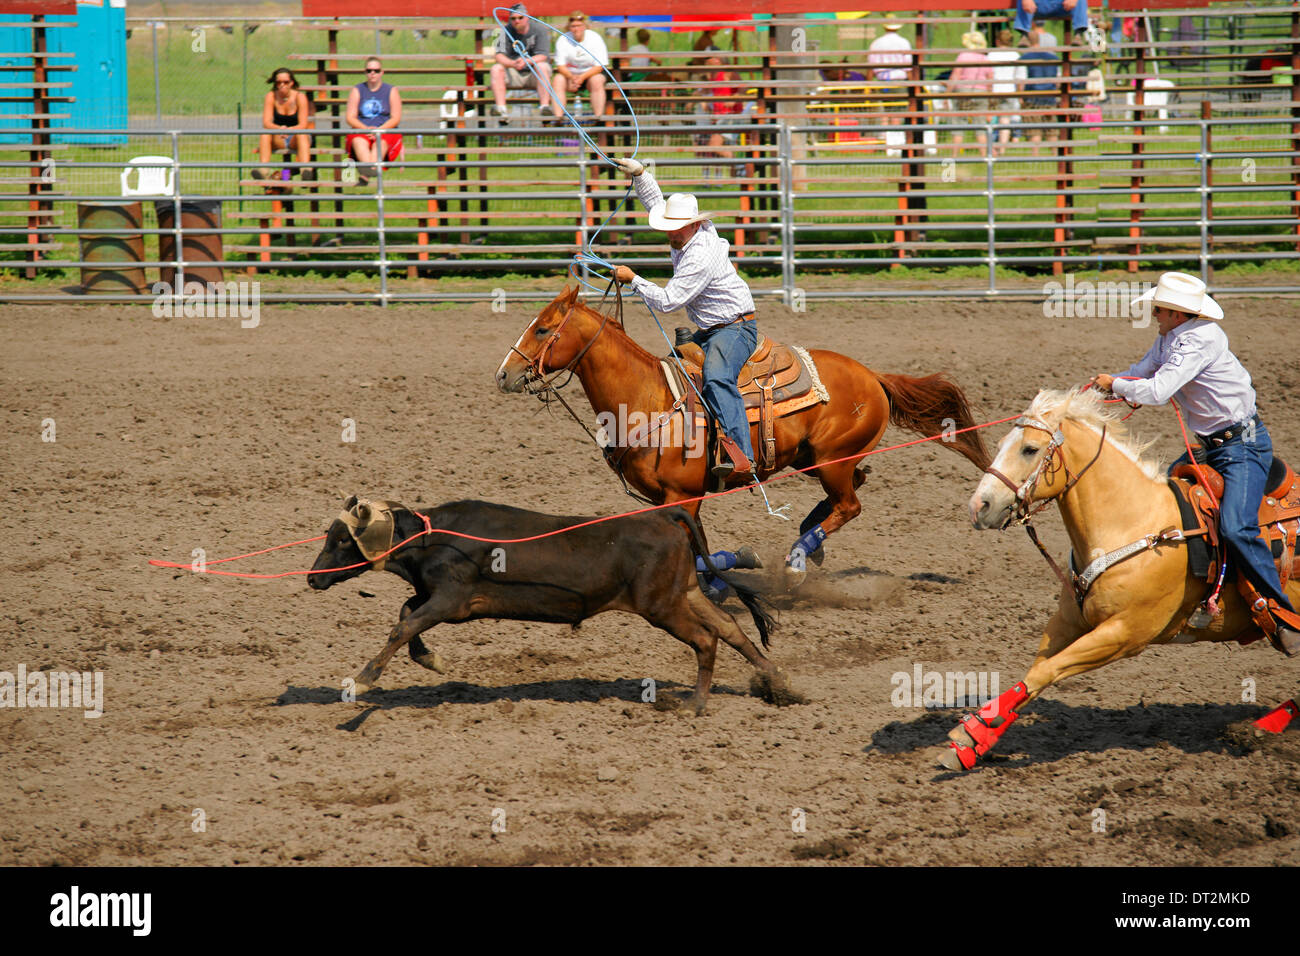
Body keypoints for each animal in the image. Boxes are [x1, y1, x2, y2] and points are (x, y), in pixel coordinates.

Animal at [308, 496, 793, 714]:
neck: (431, 539)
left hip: (661, 605)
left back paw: (695, 702)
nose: (313, 577)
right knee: (729, 627)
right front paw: (432, 660)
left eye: (341, 540)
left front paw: (363, 681)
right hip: (684, 591)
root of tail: (664, 517)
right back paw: (777, 682)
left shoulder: (450, 599)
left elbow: (403, 625)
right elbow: (407, 614)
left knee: (707, 639)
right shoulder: (442, 600)